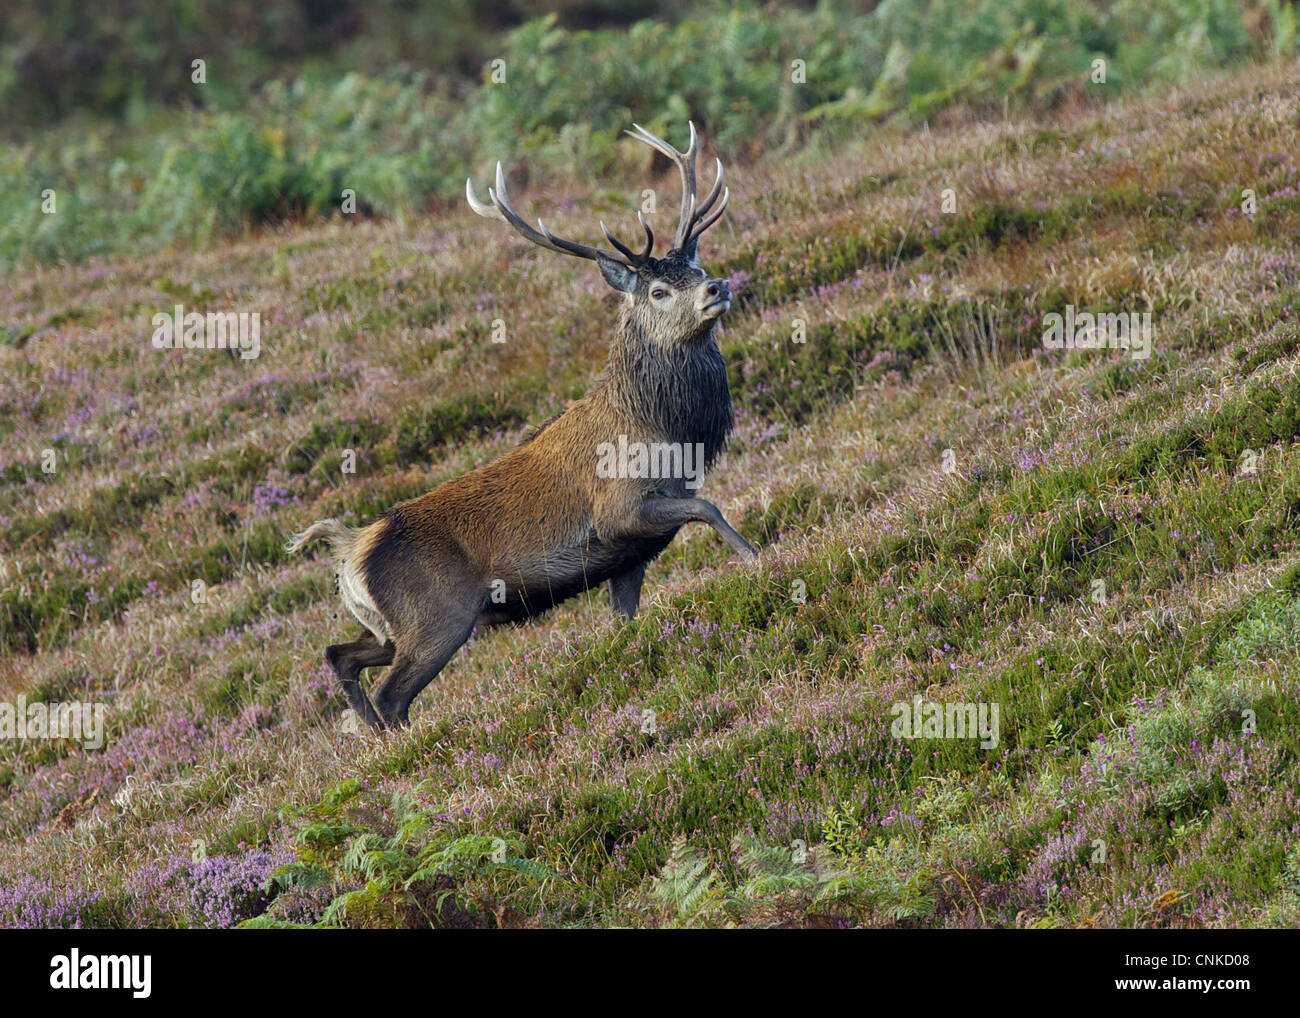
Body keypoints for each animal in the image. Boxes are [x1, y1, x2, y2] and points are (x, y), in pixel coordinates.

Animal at [287, 122, 757, 730]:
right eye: (657, 290)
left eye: (696, 268)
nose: (717, 286)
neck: (668, 435)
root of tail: (349, 551)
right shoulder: (620, 511)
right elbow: (710, 507)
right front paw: (757, 560)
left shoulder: (629, 557)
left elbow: (626, 621)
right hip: (438, 618)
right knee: (391, 694)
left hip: (390, 628)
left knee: (341, 654)